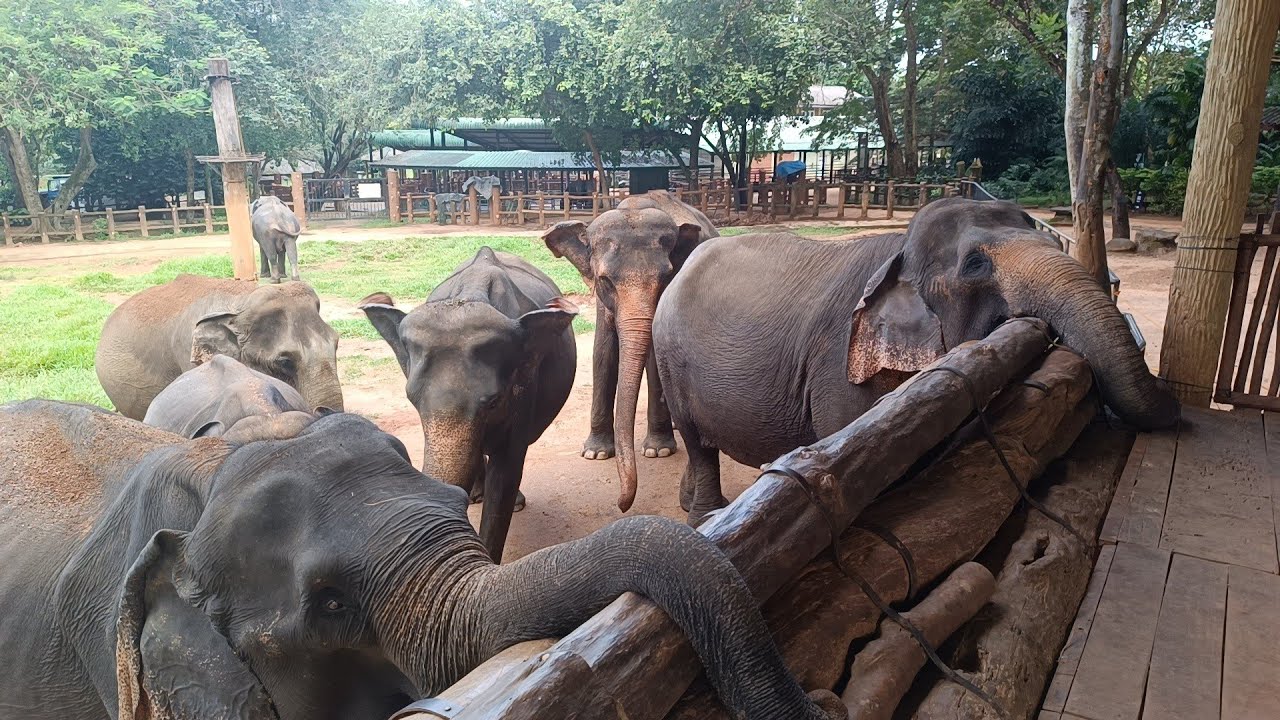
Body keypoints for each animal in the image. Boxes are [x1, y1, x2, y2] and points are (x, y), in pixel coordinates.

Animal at [542, 189, 717, 512]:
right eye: (605, 281)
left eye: (666, 278)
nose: (622, 504)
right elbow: (603, 352)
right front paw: (595, 453)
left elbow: (654, 357)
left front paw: (658, 450)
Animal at [653, 198, 1180, 525]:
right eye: (975, 265)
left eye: (1055, 244)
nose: (1173, 396)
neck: (899, 254)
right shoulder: (838, 365)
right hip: (670, 359)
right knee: (696, 439)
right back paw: (705, 517)